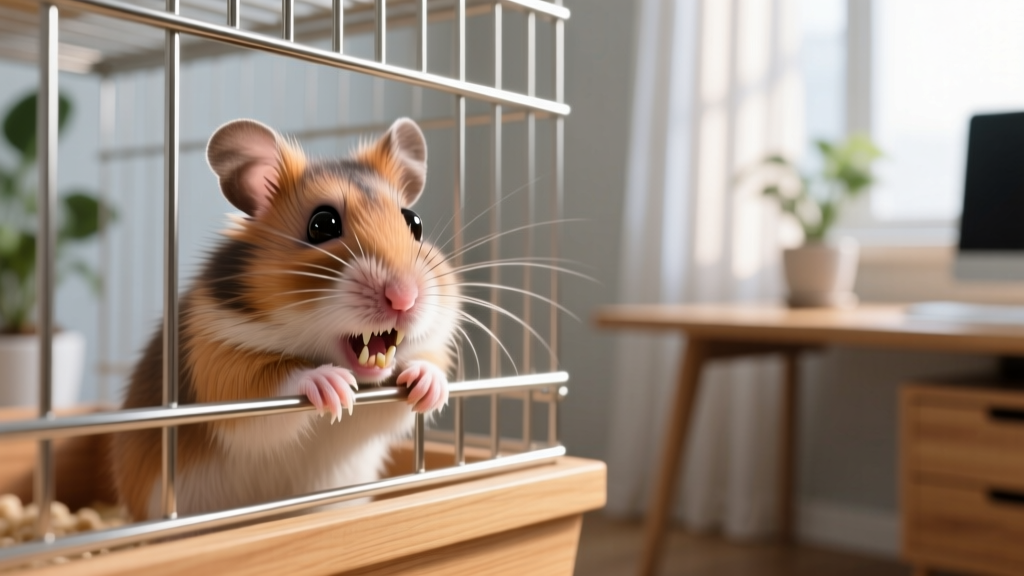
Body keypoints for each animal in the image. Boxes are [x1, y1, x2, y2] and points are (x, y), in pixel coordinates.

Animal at [110, 118, 460, 521]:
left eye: (414, 222)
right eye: (322, 225)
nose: (405, 297)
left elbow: (412, 386)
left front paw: (428, 385)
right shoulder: (217, 361)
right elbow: (269, 388)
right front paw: (334, 387)